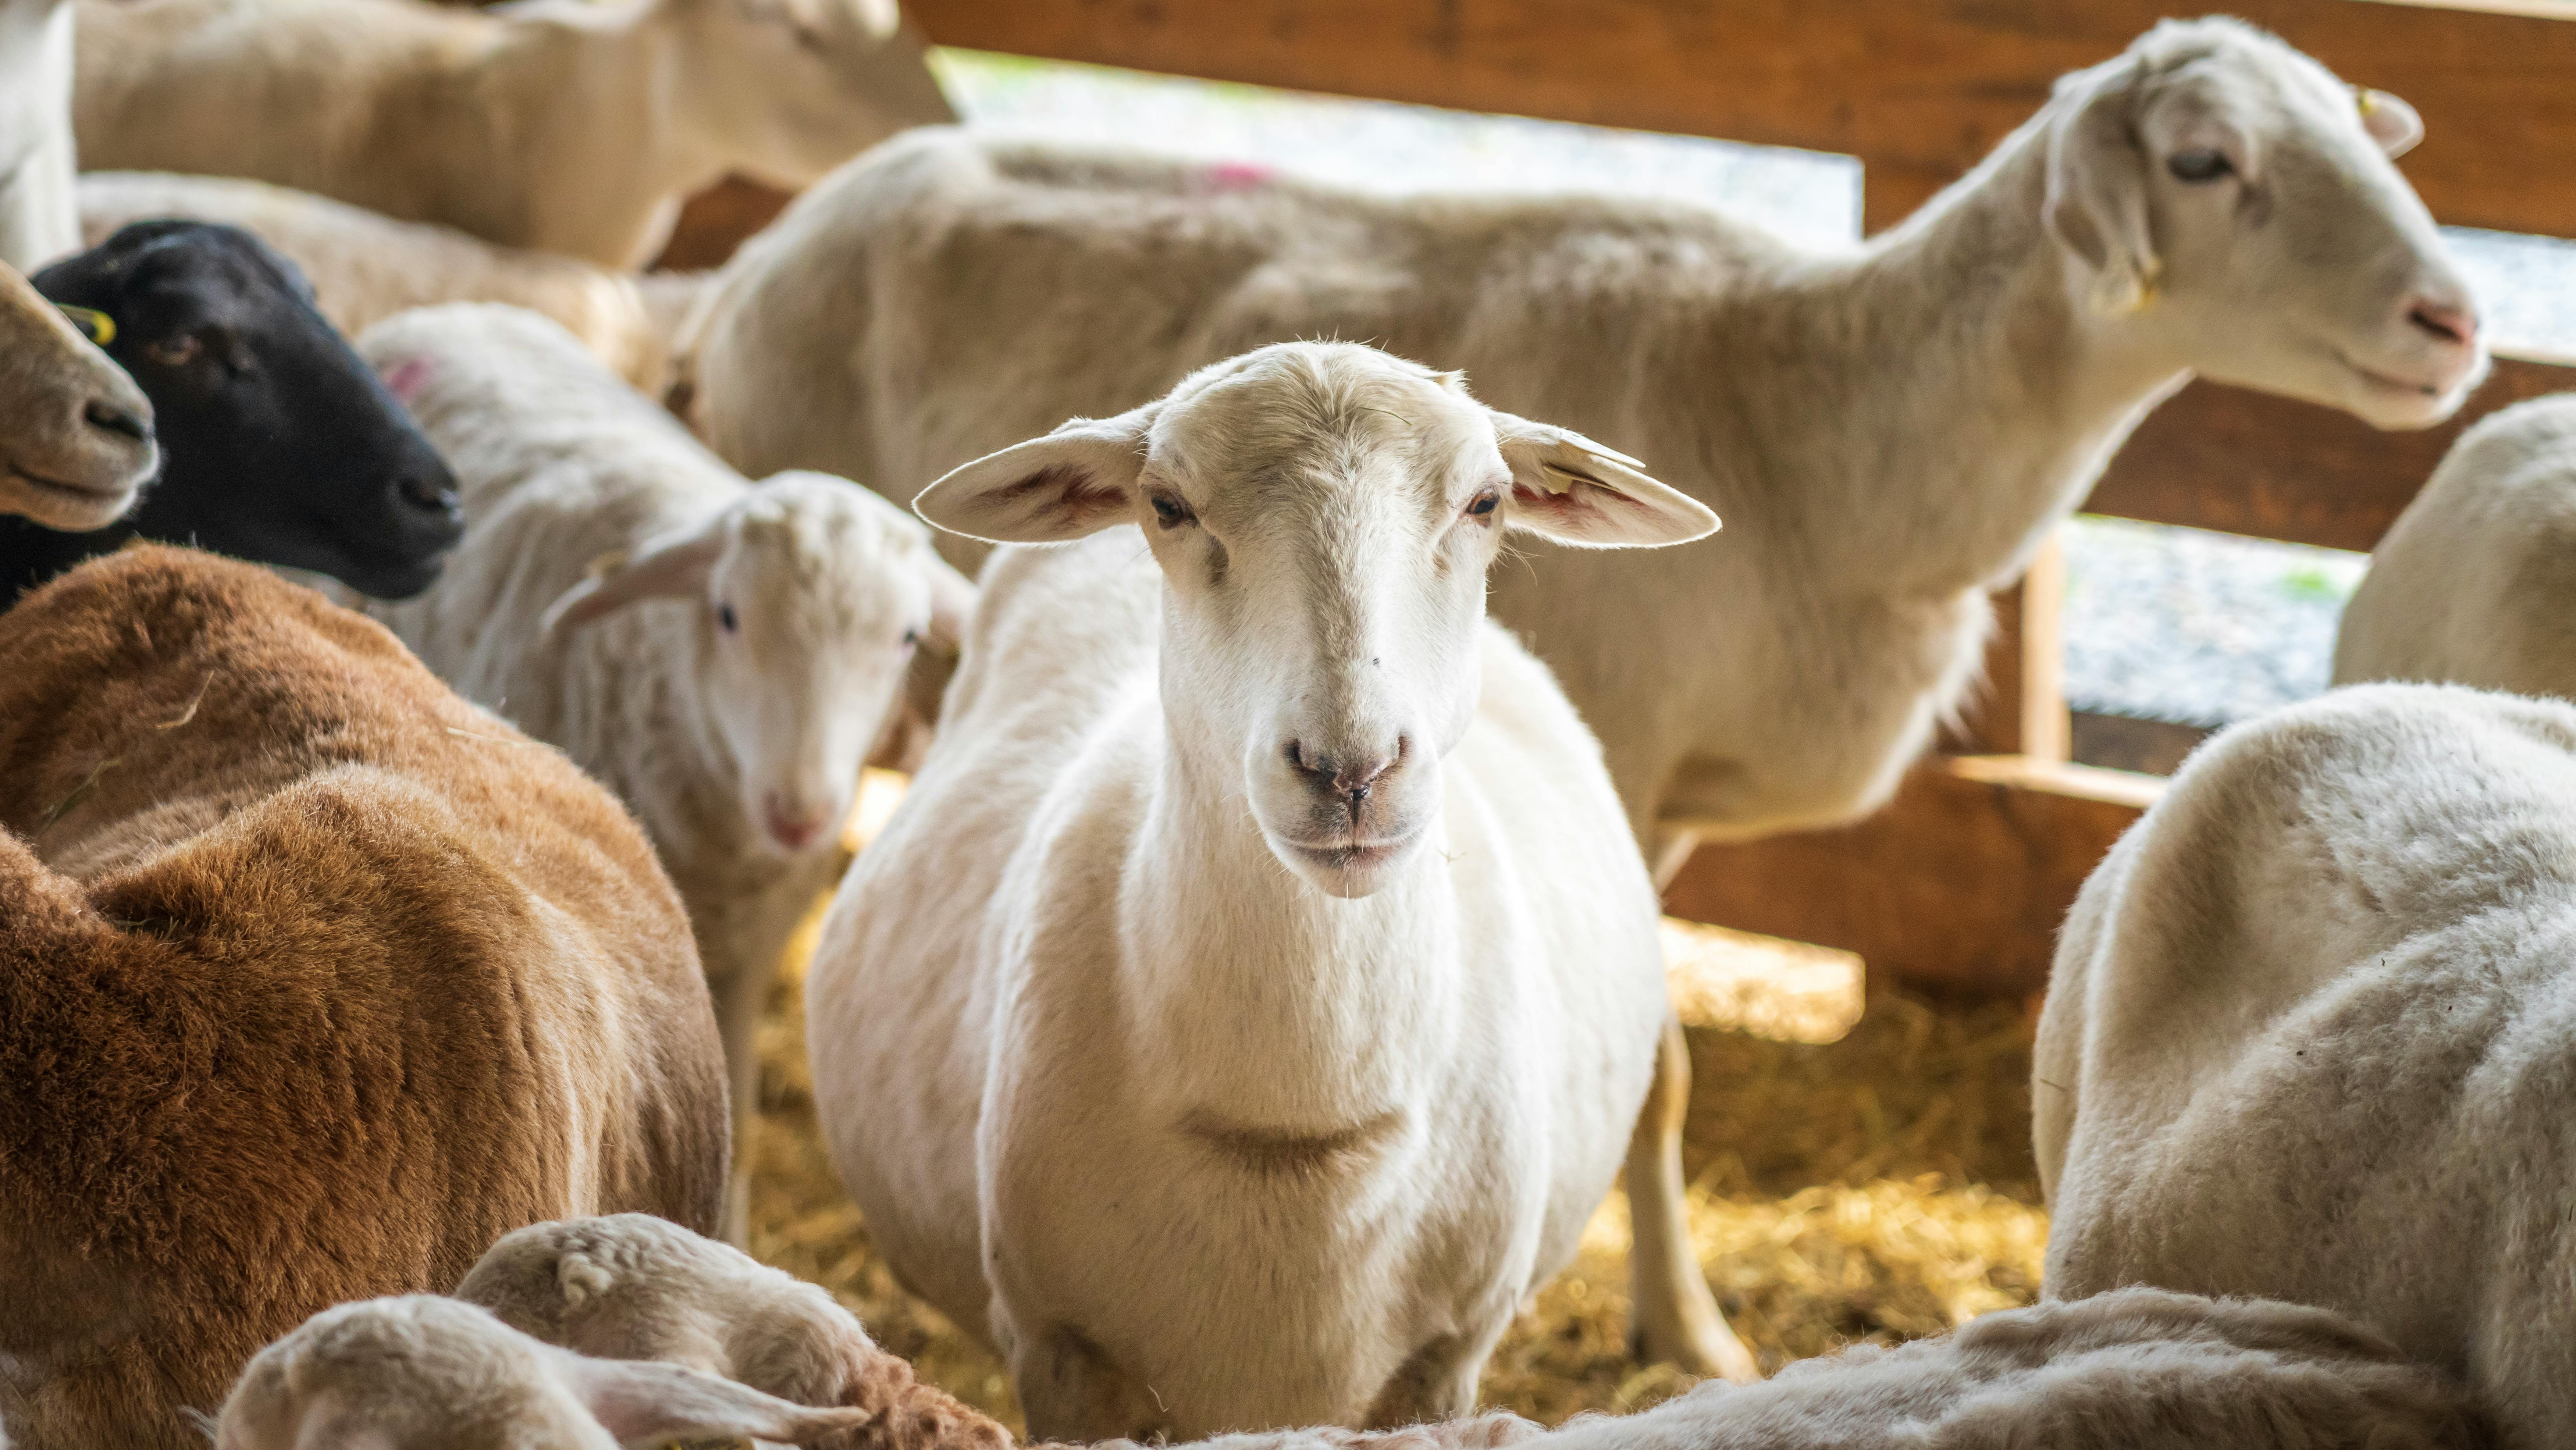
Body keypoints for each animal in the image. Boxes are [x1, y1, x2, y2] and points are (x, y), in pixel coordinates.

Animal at [356, 303, 974, 1243]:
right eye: (727, 615)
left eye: (907, 638)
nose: (799, 812)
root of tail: (448, 313)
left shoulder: (752, 951)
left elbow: (736, 1129)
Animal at [805, 341, 1720, 1438]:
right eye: (1167, 504)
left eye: (1486, 502)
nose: (1347, 769)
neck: (1298, 1117)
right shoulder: (1060, 1349)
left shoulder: (1444, 1356)